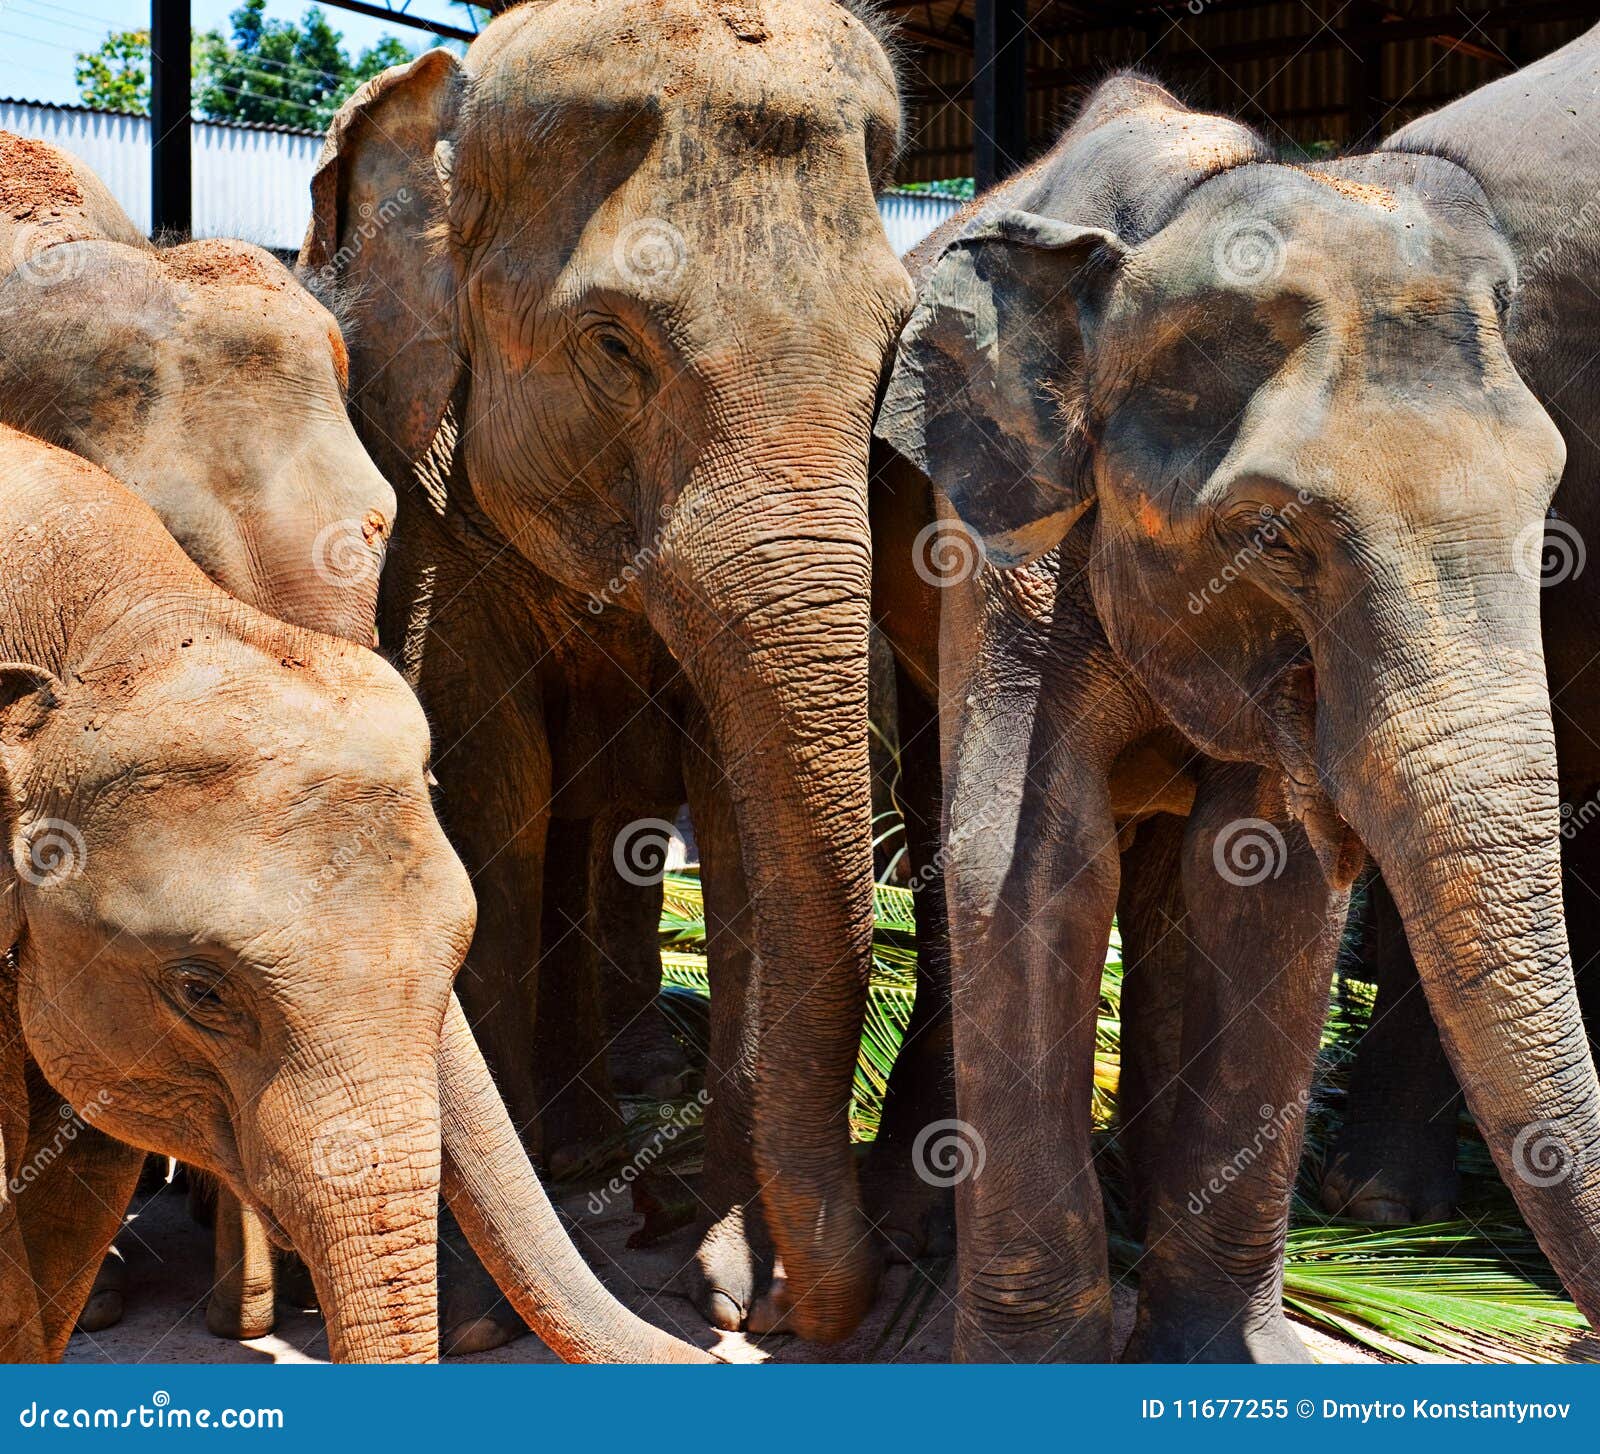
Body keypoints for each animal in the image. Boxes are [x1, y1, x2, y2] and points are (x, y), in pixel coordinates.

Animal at [301, 0, 937, 1343]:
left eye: (892, 345)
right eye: (611, 343)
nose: (809, 1312)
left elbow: (737, 813)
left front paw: (731, 1272)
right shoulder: (431, 514)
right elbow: (489, 797)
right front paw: (475, 1316)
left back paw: (600, 1148)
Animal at [873, 70, 1600, 1361]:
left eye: (1550, 504)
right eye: (1275, 537)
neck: (1172, 214)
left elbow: (1263, 880)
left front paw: (1219, 1353)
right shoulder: (1004, 534)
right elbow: (1024, 857)